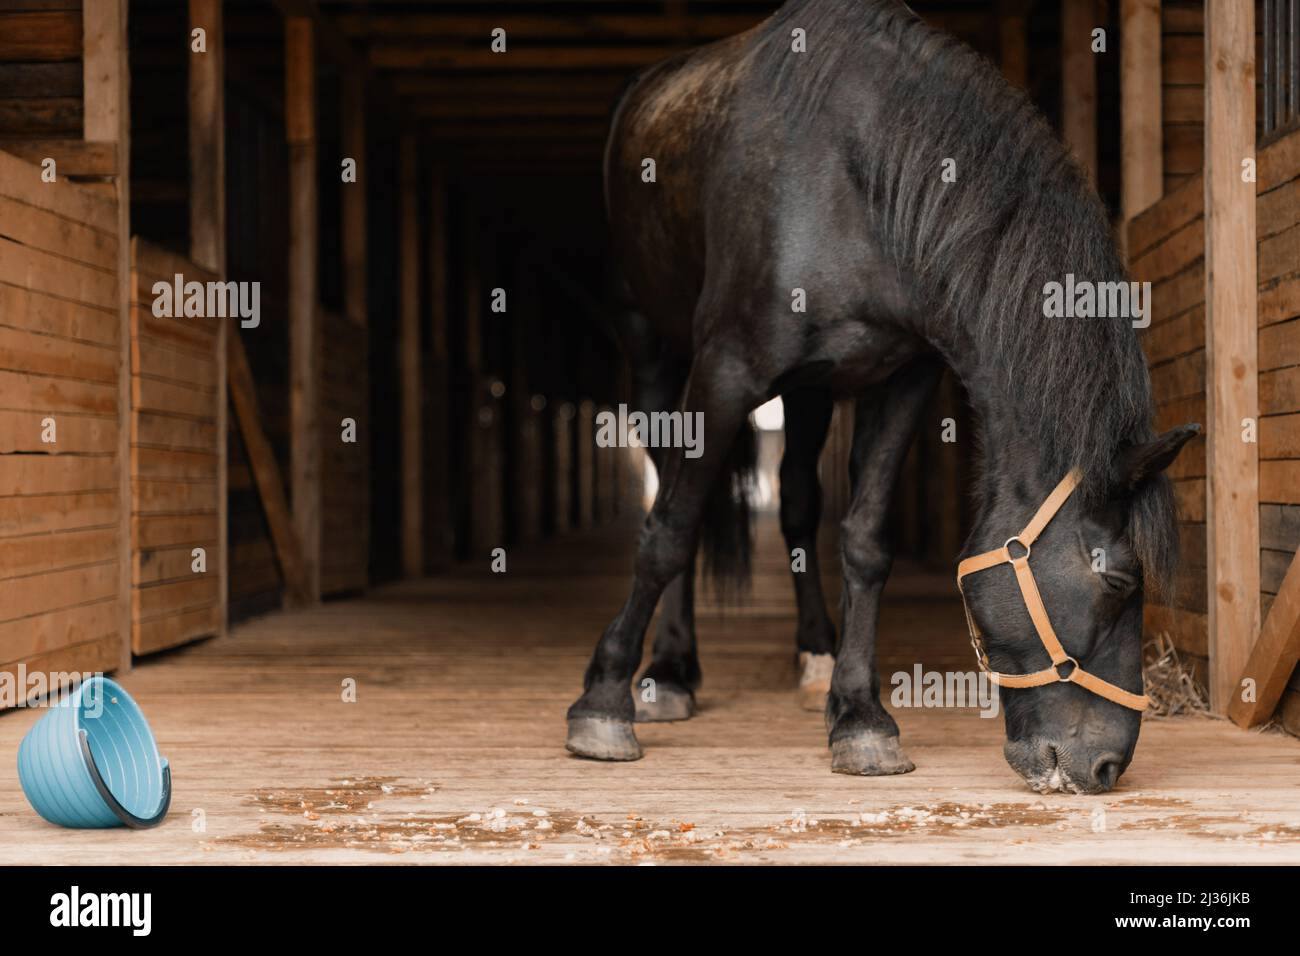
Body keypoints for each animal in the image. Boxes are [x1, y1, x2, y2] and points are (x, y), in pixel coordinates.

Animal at [567, 0, 1197, 794]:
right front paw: (602, 700)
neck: (854, 181)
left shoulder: (904, 378)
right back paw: (670, 672)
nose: (1106, 766)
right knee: (677, 493)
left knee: (797, 503)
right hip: (654, 346)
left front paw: (860, 718)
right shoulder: (725, 371)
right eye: (1117, 579)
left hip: (808, 391)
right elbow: (670, 529)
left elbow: (865, 543)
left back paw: (812, 656)